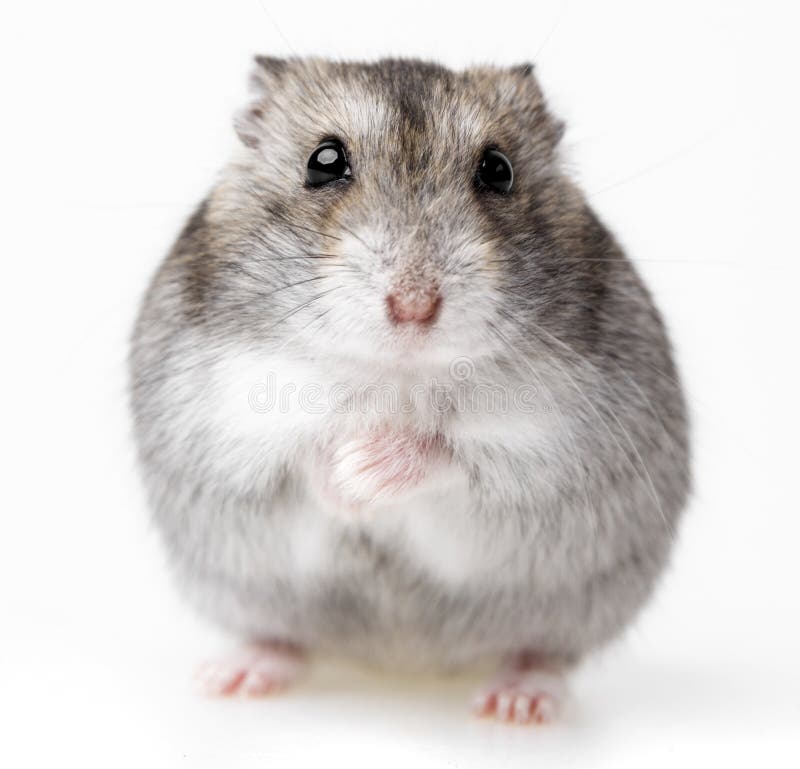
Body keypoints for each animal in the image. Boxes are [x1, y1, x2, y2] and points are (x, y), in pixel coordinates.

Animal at [129, 57, 690, 723]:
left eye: (498, 170)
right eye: (323, 161)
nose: (414, 306)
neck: (396, 373)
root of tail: (403, 663)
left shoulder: (553, 438)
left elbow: (450, 452)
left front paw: (366, 471)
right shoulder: (223, 413)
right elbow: (298, 450)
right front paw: (346, 481)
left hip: (577, 604)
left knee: (542, 652)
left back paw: (519, 702)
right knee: (285, 637)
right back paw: (234, 676)